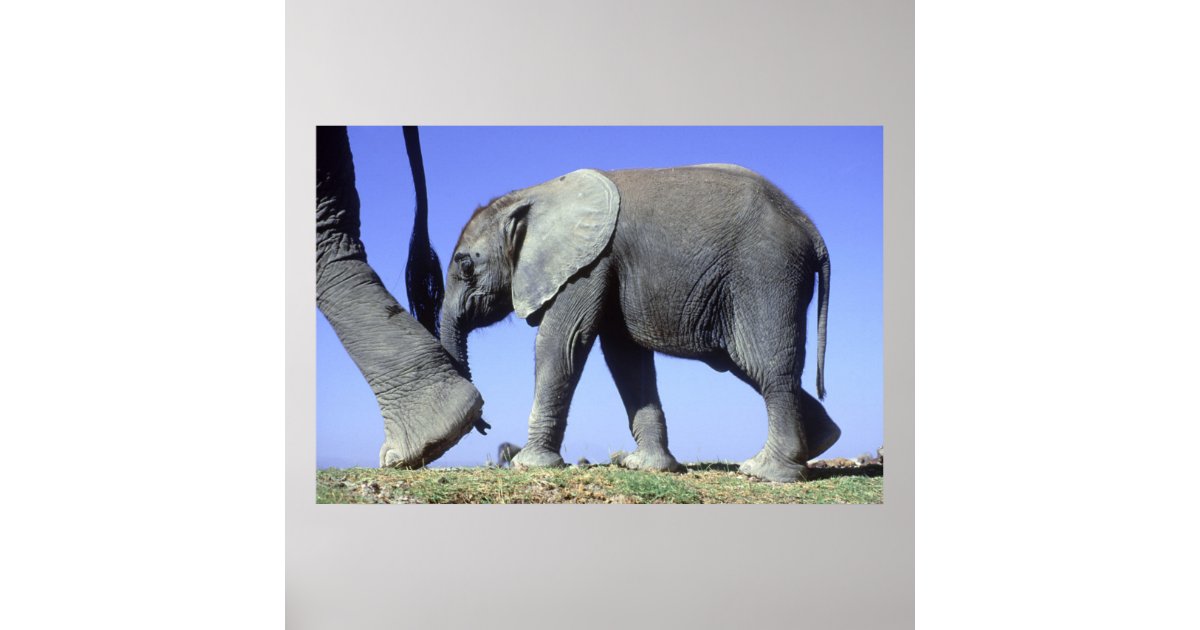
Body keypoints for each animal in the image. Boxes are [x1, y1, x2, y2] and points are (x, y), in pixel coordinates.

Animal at [439, 164, 840, 482]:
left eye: (466, 265)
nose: (484, 424)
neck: (534, 194)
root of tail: (810, 229)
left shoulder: (588, 264)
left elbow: (561, 342)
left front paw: (531, 464)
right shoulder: (611, 267)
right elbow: (626, 359)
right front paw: (647, 467)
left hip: (767, 273)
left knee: (765, 365)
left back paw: (766, 472)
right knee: (741, 362)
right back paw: (821, 441)